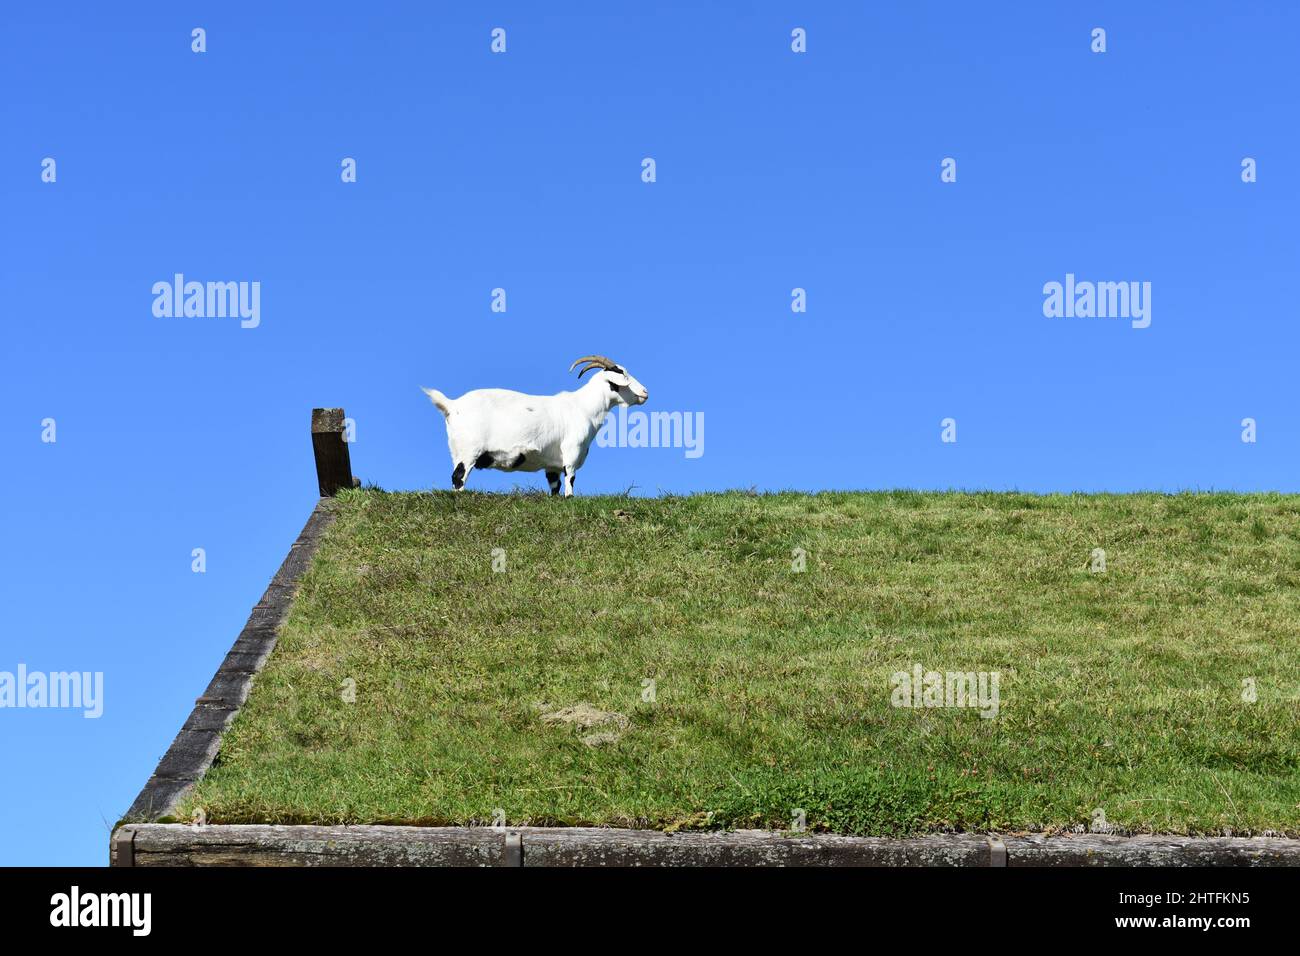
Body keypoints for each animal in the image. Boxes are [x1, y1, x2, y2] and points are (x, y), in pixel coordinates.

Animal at [421, 355, 649, 496]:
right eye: (621, 376)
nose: (645, 392)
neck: (583, 406)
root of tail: (452, 405)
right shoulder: (571, 451)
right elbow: (570, 480)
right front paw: (570, 498)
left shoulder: (552, 464)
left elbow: (555, 486)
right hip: (469, 450)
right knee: (458, 477)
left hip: (457, 450)